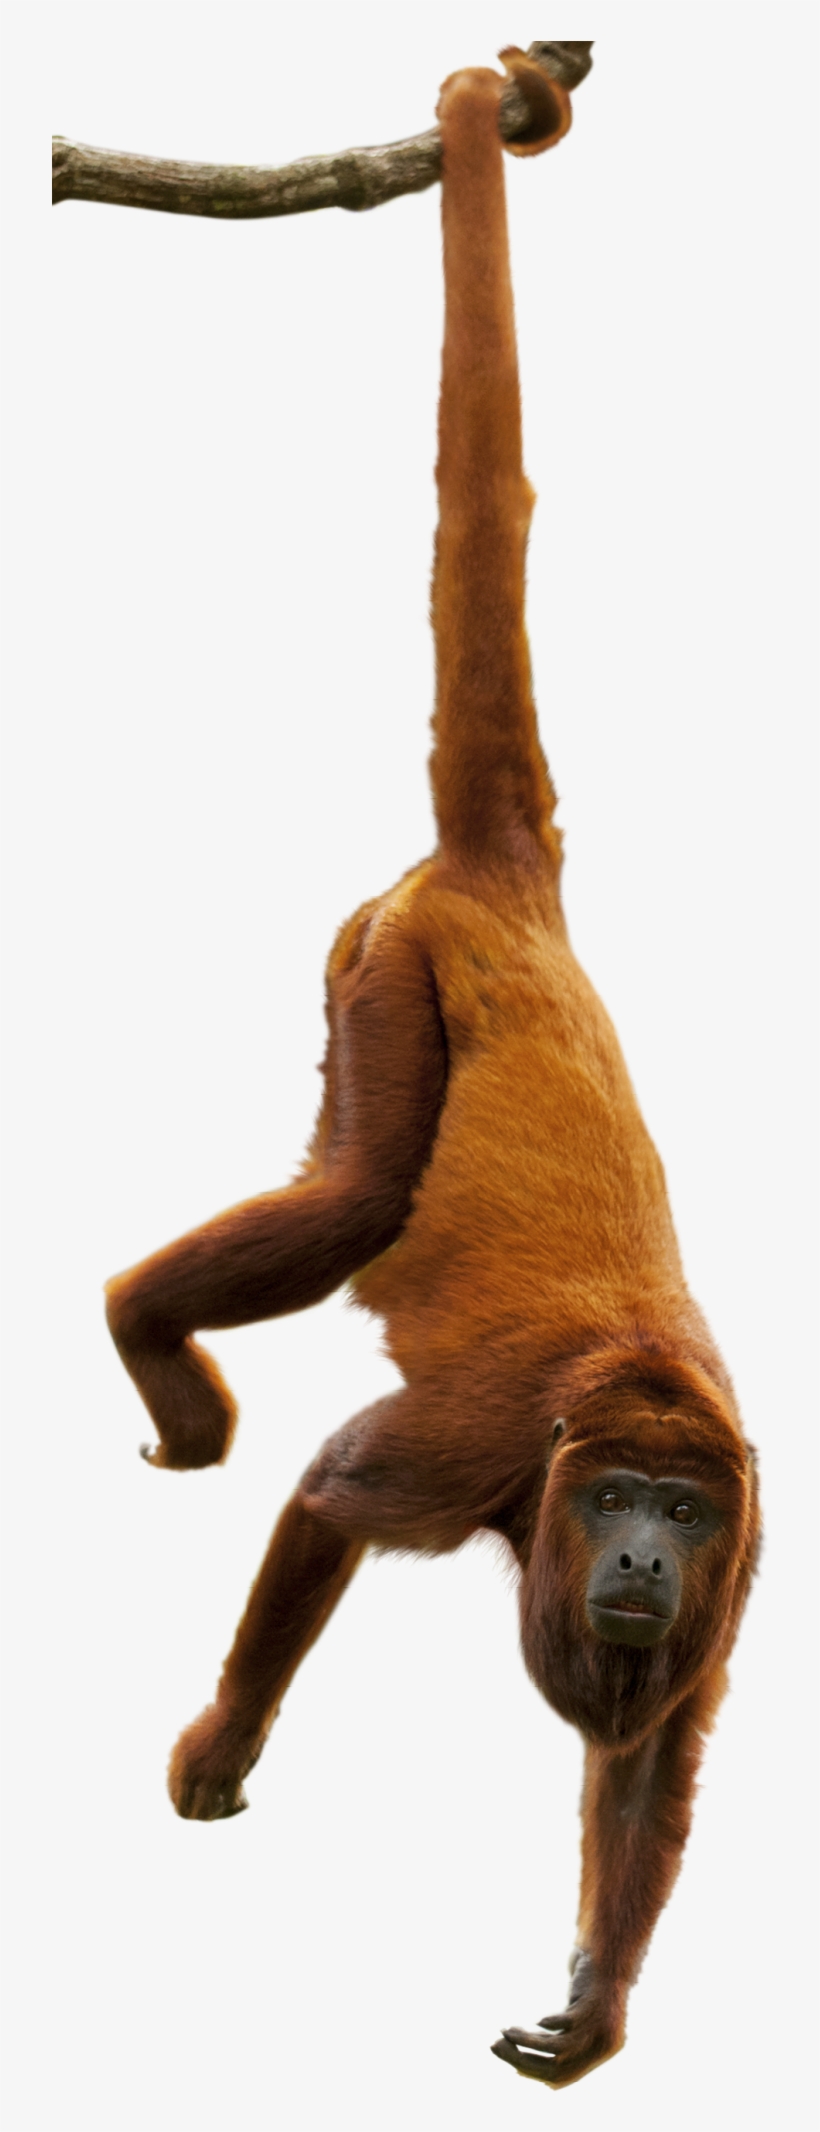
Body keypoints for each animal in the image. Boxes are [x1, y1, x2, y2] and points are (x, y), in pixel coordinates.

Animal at [105, 58, 760, 2089]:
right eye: (620, 1499)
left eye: (686, 1514)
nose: (638, 1559)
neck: (615, 1417)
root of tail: (507, 882)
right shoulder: (485, 1441)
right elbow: (328, 1493)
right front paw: (222, 1744)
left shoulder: (761, 1558)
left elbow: (655, 1756)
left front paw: (595, 2004)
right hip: (388, 970)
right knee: (351, 1196)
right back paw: (159, 1354)